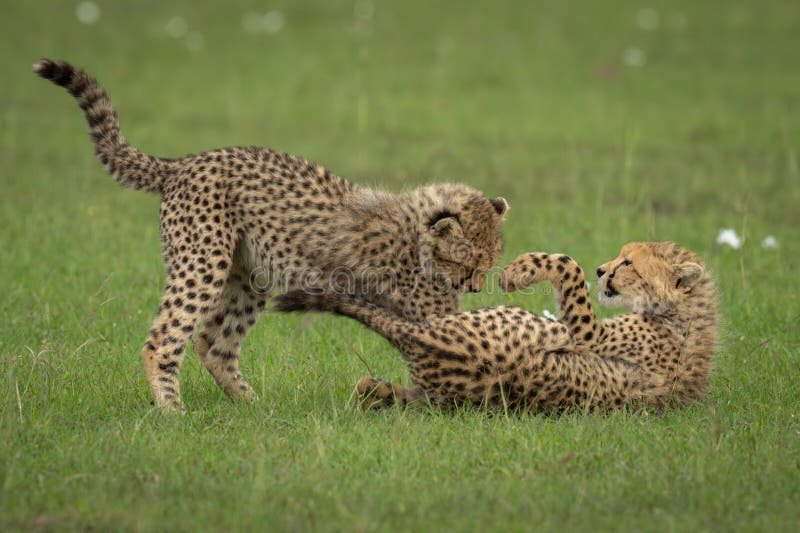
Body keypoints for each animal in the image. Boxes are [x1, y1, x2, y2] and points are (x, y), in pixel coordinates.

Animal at [34, 58, 508, 413]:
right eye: (467, 263)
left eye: (489, 264)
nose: (476, 286)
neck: (420, 233)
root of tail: (183, 162)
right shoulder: (429, 315)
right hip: (203, 263)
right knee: (164, 339)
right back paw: (172, 410)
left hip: (250, 275)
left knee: (214, 343)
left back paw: (253, 407)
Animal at [274, 241, 718, 413]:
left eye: (629, 263)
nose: (602, 270)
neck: (688, 316)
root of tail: (423, 341)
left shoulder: (586, 336)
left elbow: (567, 264)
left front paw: (518, 271)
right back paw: (373, 390)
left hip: (545, 332)